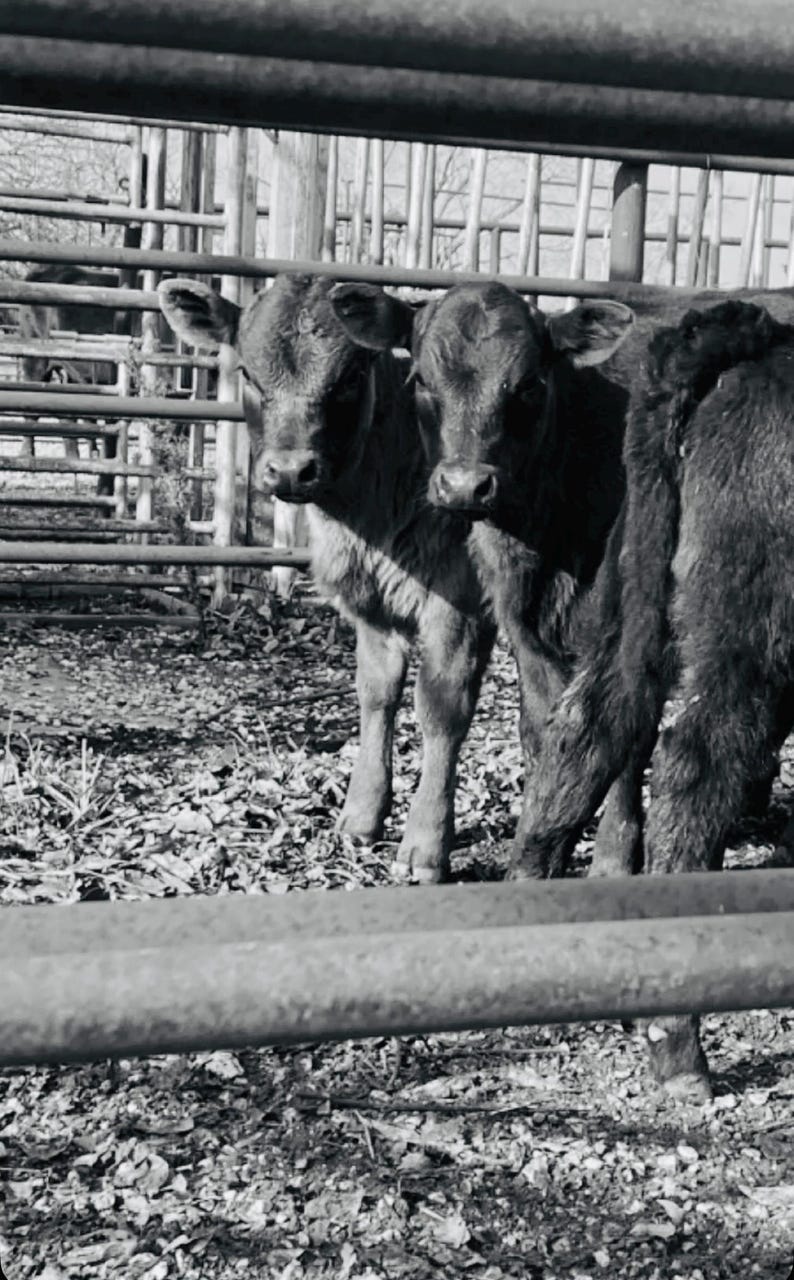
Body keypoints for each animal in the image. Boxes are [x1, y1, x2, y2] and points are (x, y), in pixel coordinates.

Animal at [158, 273, 495, 884]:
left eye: (351, 376)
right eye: (247, 372)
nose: (292, 470)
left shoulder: (460, 607)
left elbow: (441, 710)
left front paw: (426, 842)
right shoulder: (373, 608)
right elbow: (377, 693)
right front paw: (362, 815)